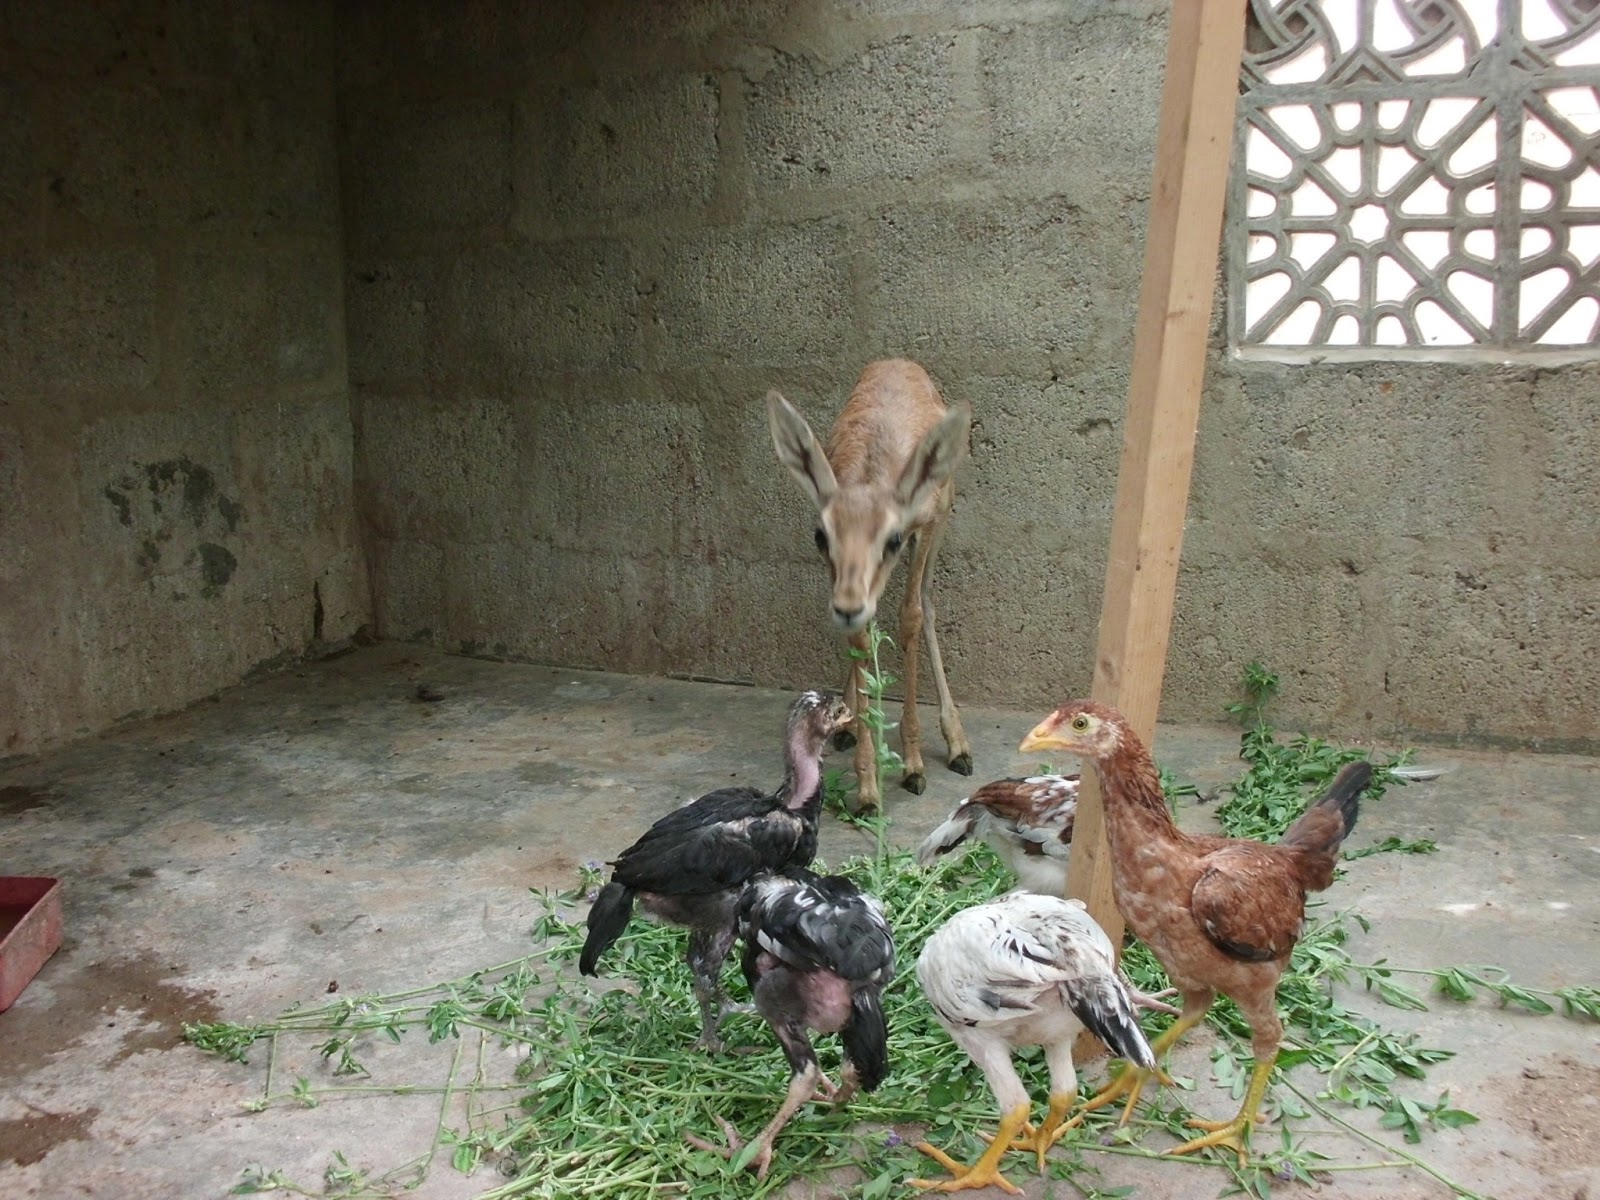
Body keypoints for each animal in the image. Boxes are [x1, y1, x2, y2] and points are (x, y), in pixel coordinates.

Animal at [767, 358, 973, 812]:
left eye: (891, 539)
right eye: (821, 535)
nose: (847, 606)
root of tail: (899, 361)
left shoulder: (923, 528)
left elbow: (911, 616)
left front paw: (913, 765)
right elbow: (861, 639)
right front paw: (867, 788)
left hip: (940, 524)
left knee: (927, 604)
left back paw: (958, 746)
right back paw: (847, 723)